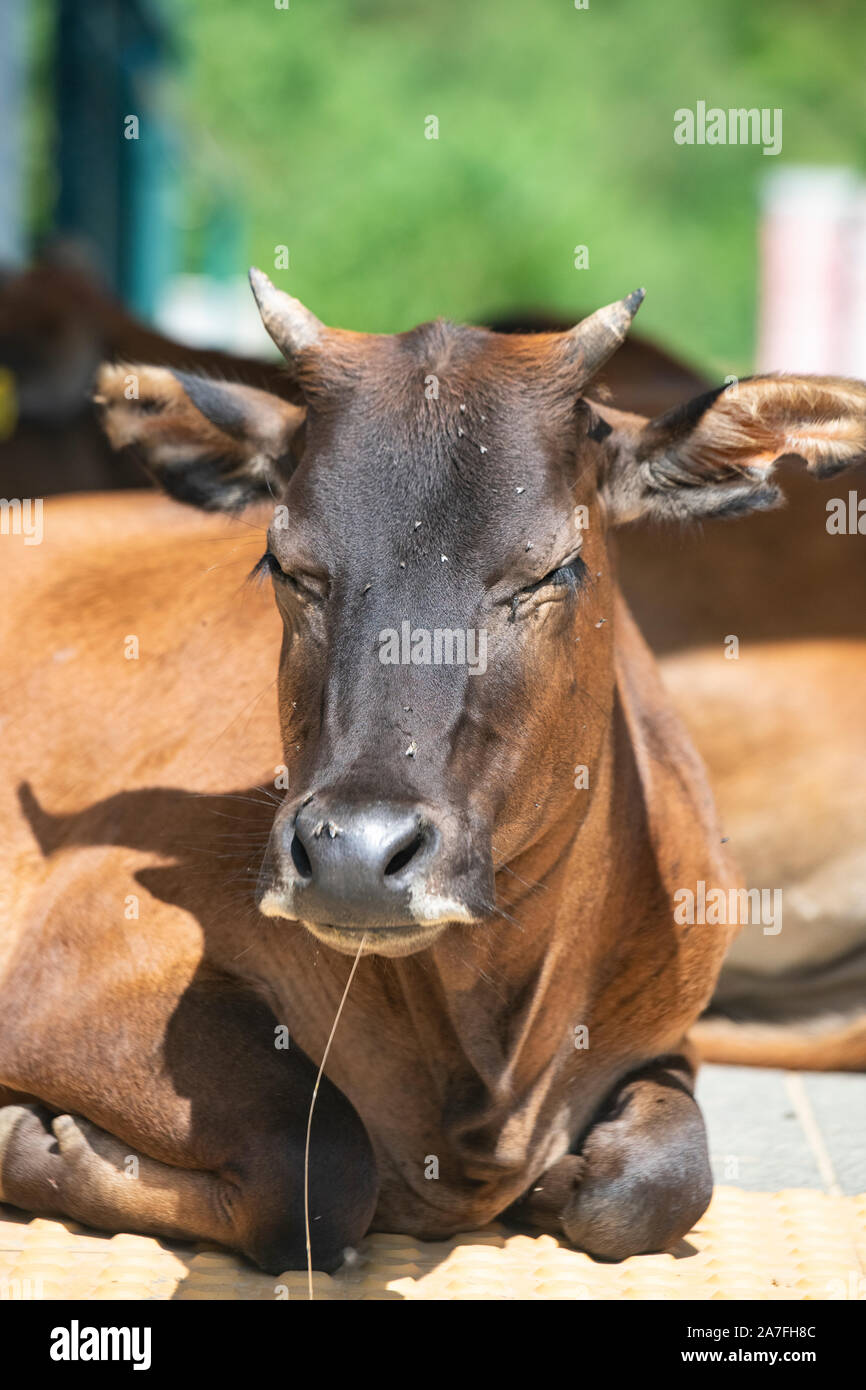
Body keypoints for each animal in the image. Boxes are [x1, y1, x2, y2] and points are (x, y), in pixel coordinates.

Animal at [1, 271, 865, 1274]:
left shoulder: (670, 1035)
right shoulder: (65, 983)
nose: (352, 855)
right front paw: (35, 1146)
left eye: (553, 567)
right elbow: (318, 1168)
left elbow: (657, 1185)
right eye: (284, 562)